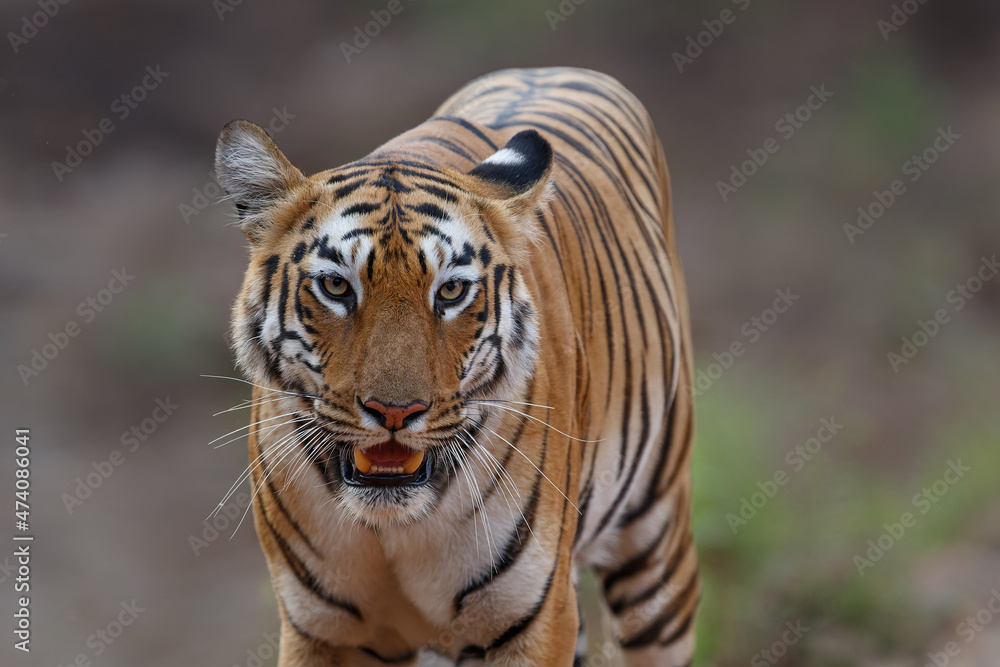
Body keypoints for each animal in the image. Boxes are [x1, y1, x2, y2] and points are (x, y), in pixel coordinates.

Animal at [214, 67, 697, 666]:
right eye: (336, 287)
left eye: (449, 292)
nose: (395, 413)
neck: (392, 530)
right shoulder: (322, 630)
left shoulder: (536, 619)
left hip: (656, 542)